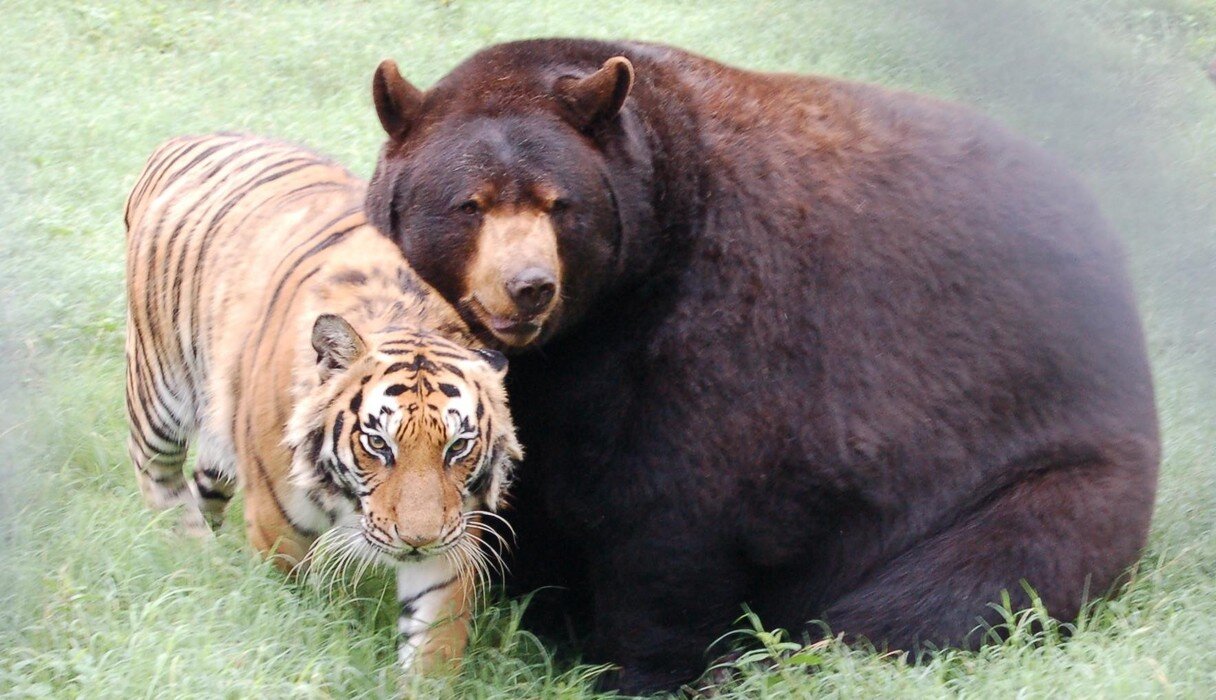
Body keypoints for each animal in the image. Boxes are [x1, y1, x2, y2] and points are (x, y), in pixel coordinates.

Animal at [123, 132, 522, 674]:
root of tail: (182, 138)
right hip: (156, 388)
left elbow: (432, 646)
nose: (416, 539)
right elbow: (291, 606)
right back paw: (192, 551)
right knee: (159, 476)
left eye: (457, 447)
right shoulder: (279, 528)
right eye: (378, 444)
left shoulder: (452, 540)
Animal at [364, 39, 1160, 694]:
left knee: (964, 582)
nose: (529, 285)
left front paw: (640, 670)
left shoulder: (717, 327)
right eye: (470, 203)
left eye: (560, 205)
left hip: (1044, 459)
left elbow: (674, 515)